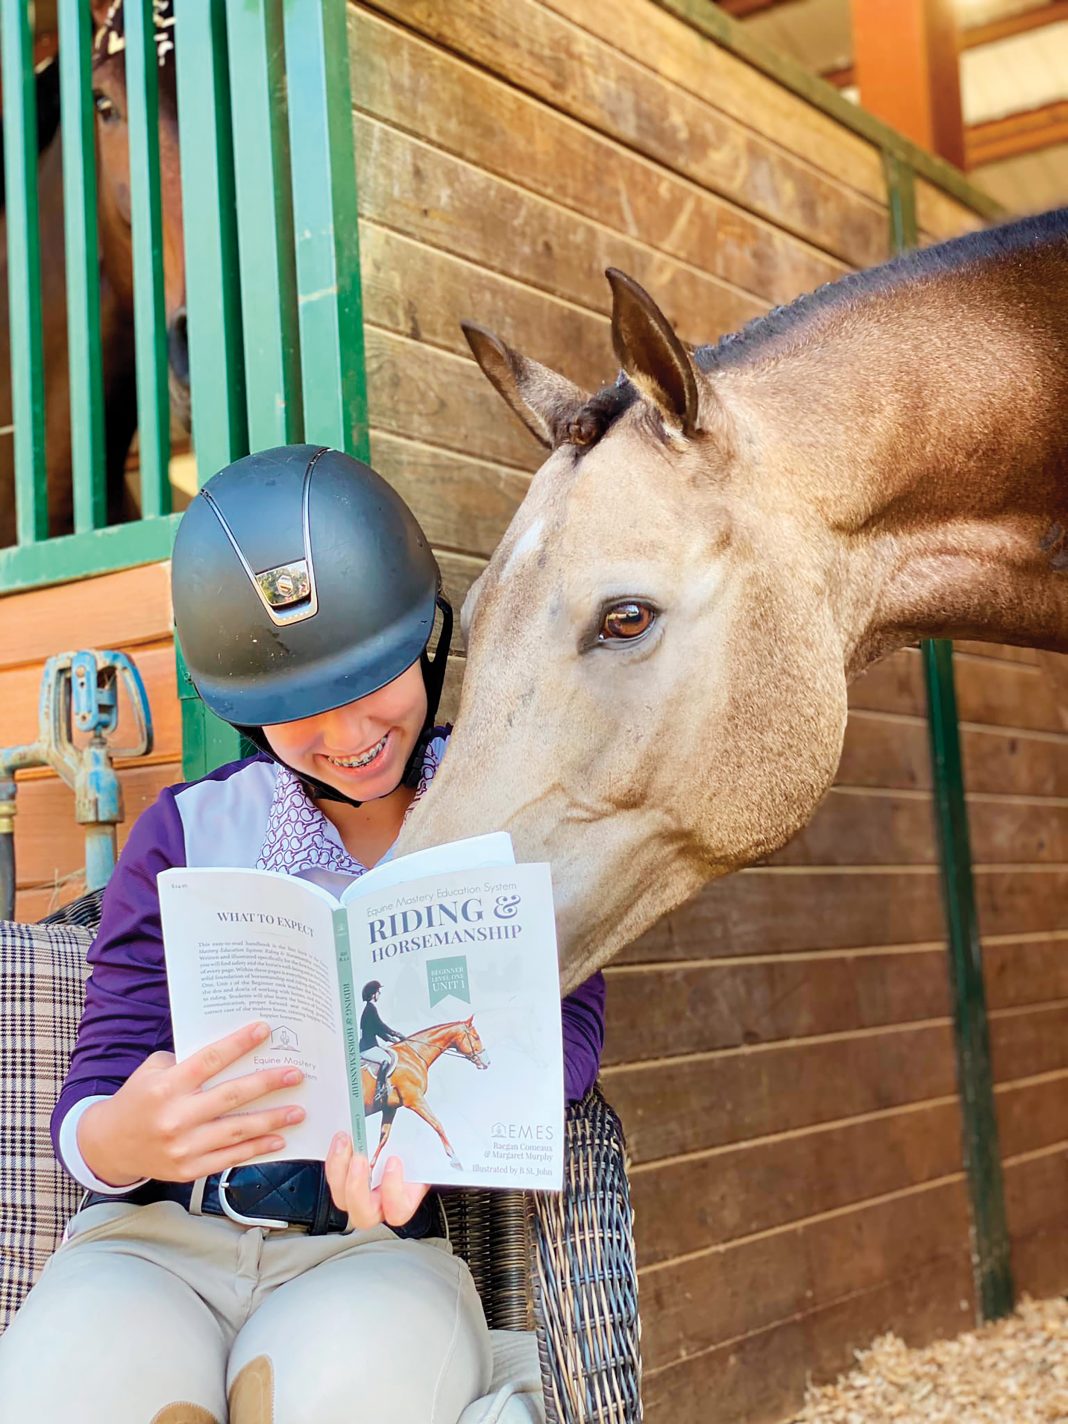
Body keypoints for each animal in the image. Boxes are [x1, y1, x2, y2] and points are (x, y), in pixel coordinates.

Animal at [363, 1016, 488, 1170]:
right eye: (476, 1037)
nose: (487, 1062)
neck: (412, 1055)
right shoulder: (415, 1099)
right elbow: (437, 1124)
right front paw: (455, 1160)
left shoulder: (390, 1108)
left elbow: (383, 1138)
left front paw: (369, 1169)